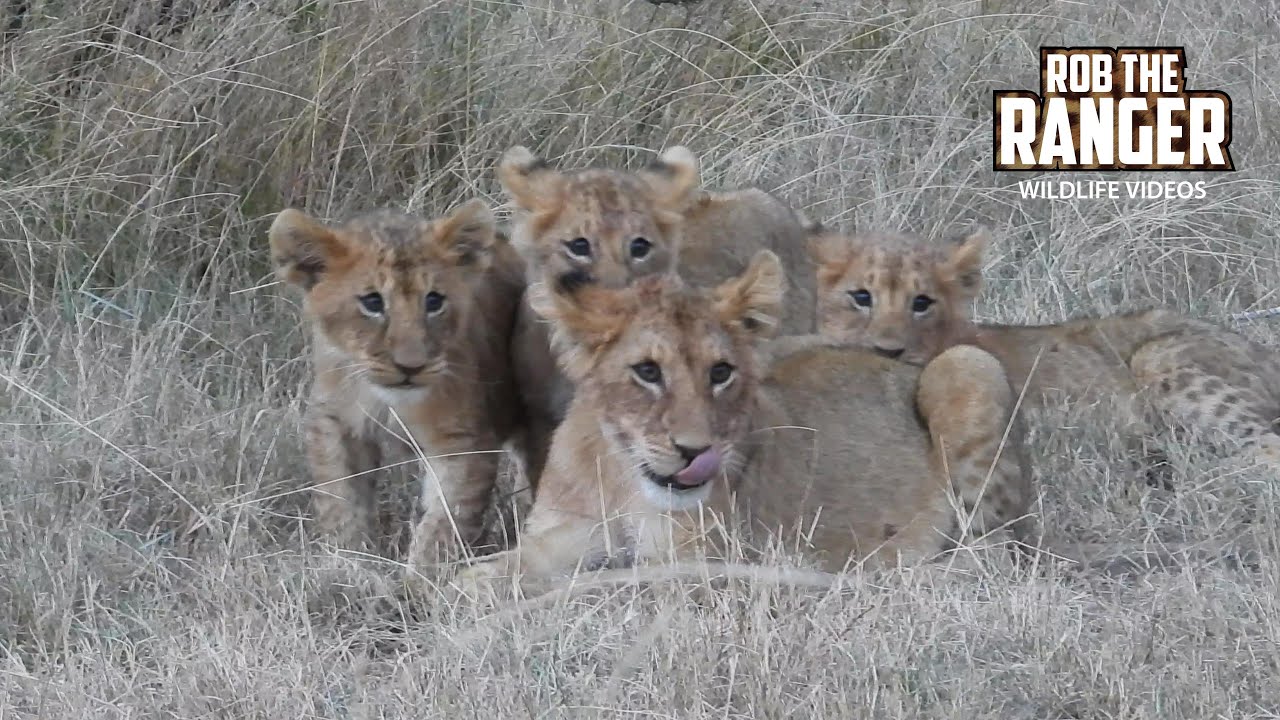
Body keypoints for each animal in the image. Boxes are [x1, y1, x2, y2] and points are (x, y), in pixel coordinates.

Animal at [268, 199, 534, 571]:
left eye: (434, 300)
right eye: (372, 302)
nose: (411, 366)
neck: (388, 399)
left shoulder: (463, 440)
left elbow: (444, 522)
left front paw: (421, 580)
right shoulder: (334, 420)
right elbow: (340, 497)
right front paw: (346, 562)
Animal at [453, 250, 1036, 594]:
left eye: (721, 372)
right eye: (647, 371)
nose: (696, 451)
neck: (620, 474)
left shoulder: (700, 568)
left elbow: (609, 585)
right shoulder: (562, 535)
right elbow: (495, 573)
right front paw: (466, 586)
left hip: (965, 366)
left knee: (995, 558)